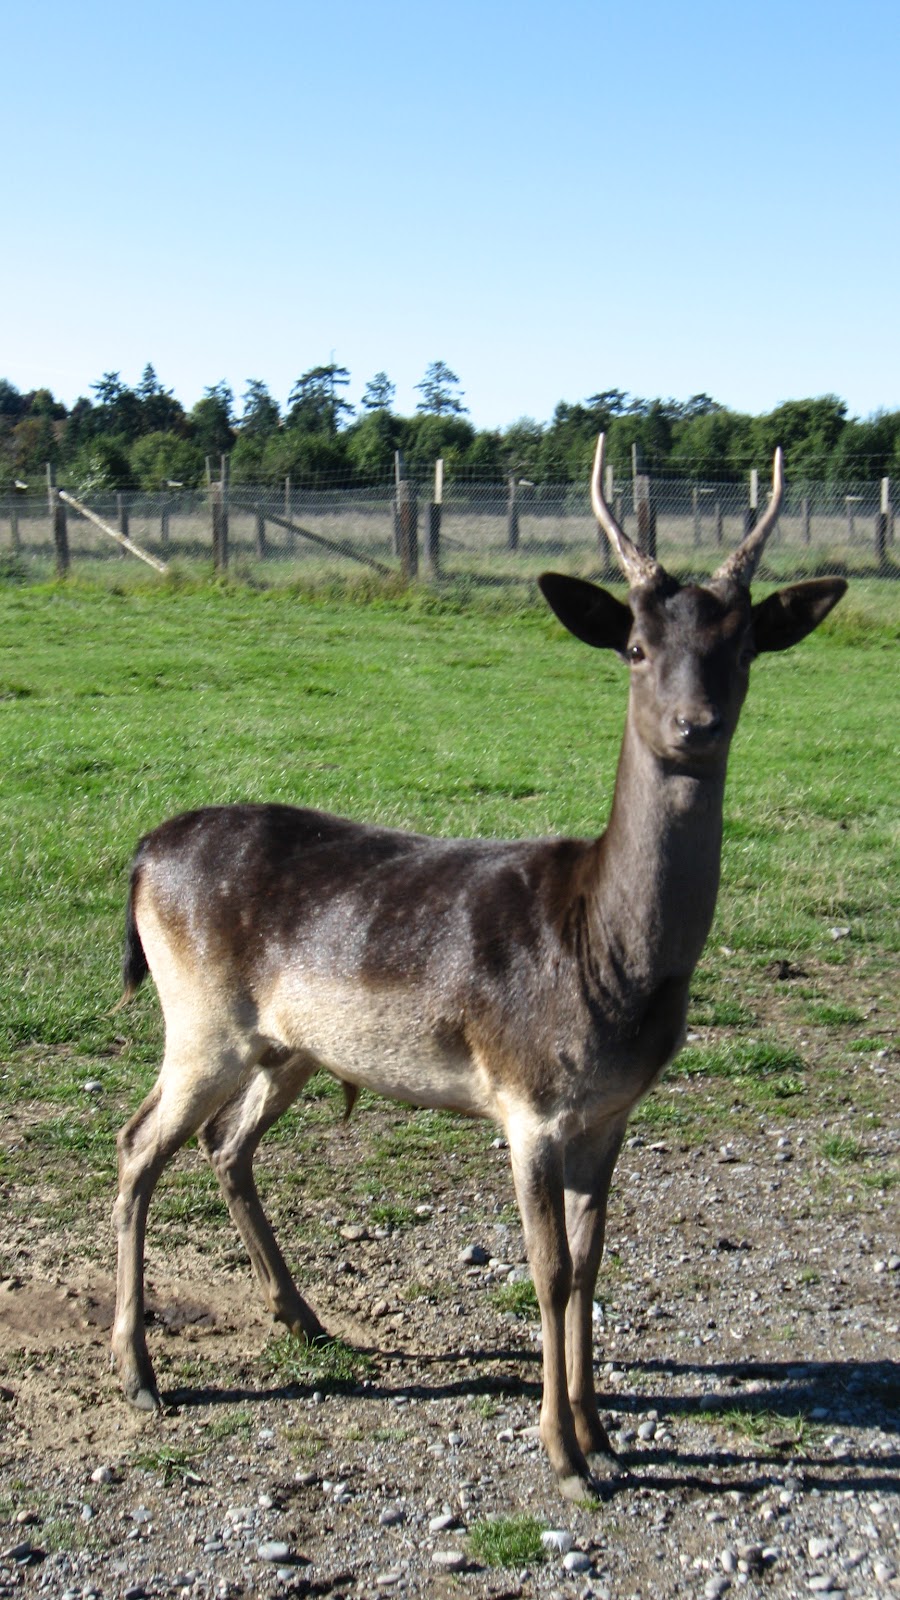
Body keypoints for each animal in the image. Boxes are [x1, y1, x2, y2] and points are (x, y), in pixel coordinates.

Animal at [111, 436, 846, 1498]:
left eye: (744, 647)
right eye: (633, 647)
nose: (695, 724)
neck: (608, 962)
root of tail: (140, 855)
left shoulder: (611, 1112)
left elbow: (592, 1264)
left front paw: (607, 1438)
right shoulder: (528, 1101)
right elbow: (546, 1270)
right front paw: (564, 1455)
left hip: (285, 1047)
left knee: (225, 1146)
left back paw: (304, 1318)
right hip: (199, 1020)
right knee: (136, 1146)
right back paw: (139, 1373)